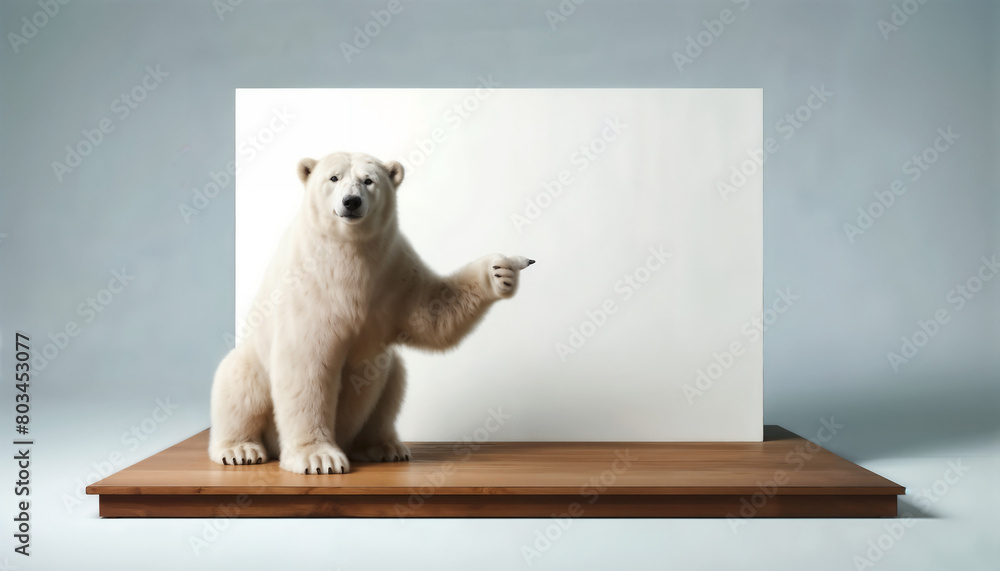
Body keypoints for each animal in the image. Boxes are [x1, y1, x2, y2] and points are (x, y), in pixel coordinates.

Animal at [209, 151, 533, 475]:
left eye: (368, 180)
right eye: (334, 178)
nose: (351, 201)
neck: (347, 249)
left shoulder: (393, 269)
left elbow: (434, 312)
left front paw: (501, 269)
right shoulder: (308, 287)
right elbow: (307, 366)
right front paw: (319, 458)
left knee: (392, 381)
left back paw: (384, 447)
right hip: (251, 362)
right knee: (239, 385)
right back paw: (240, 449)